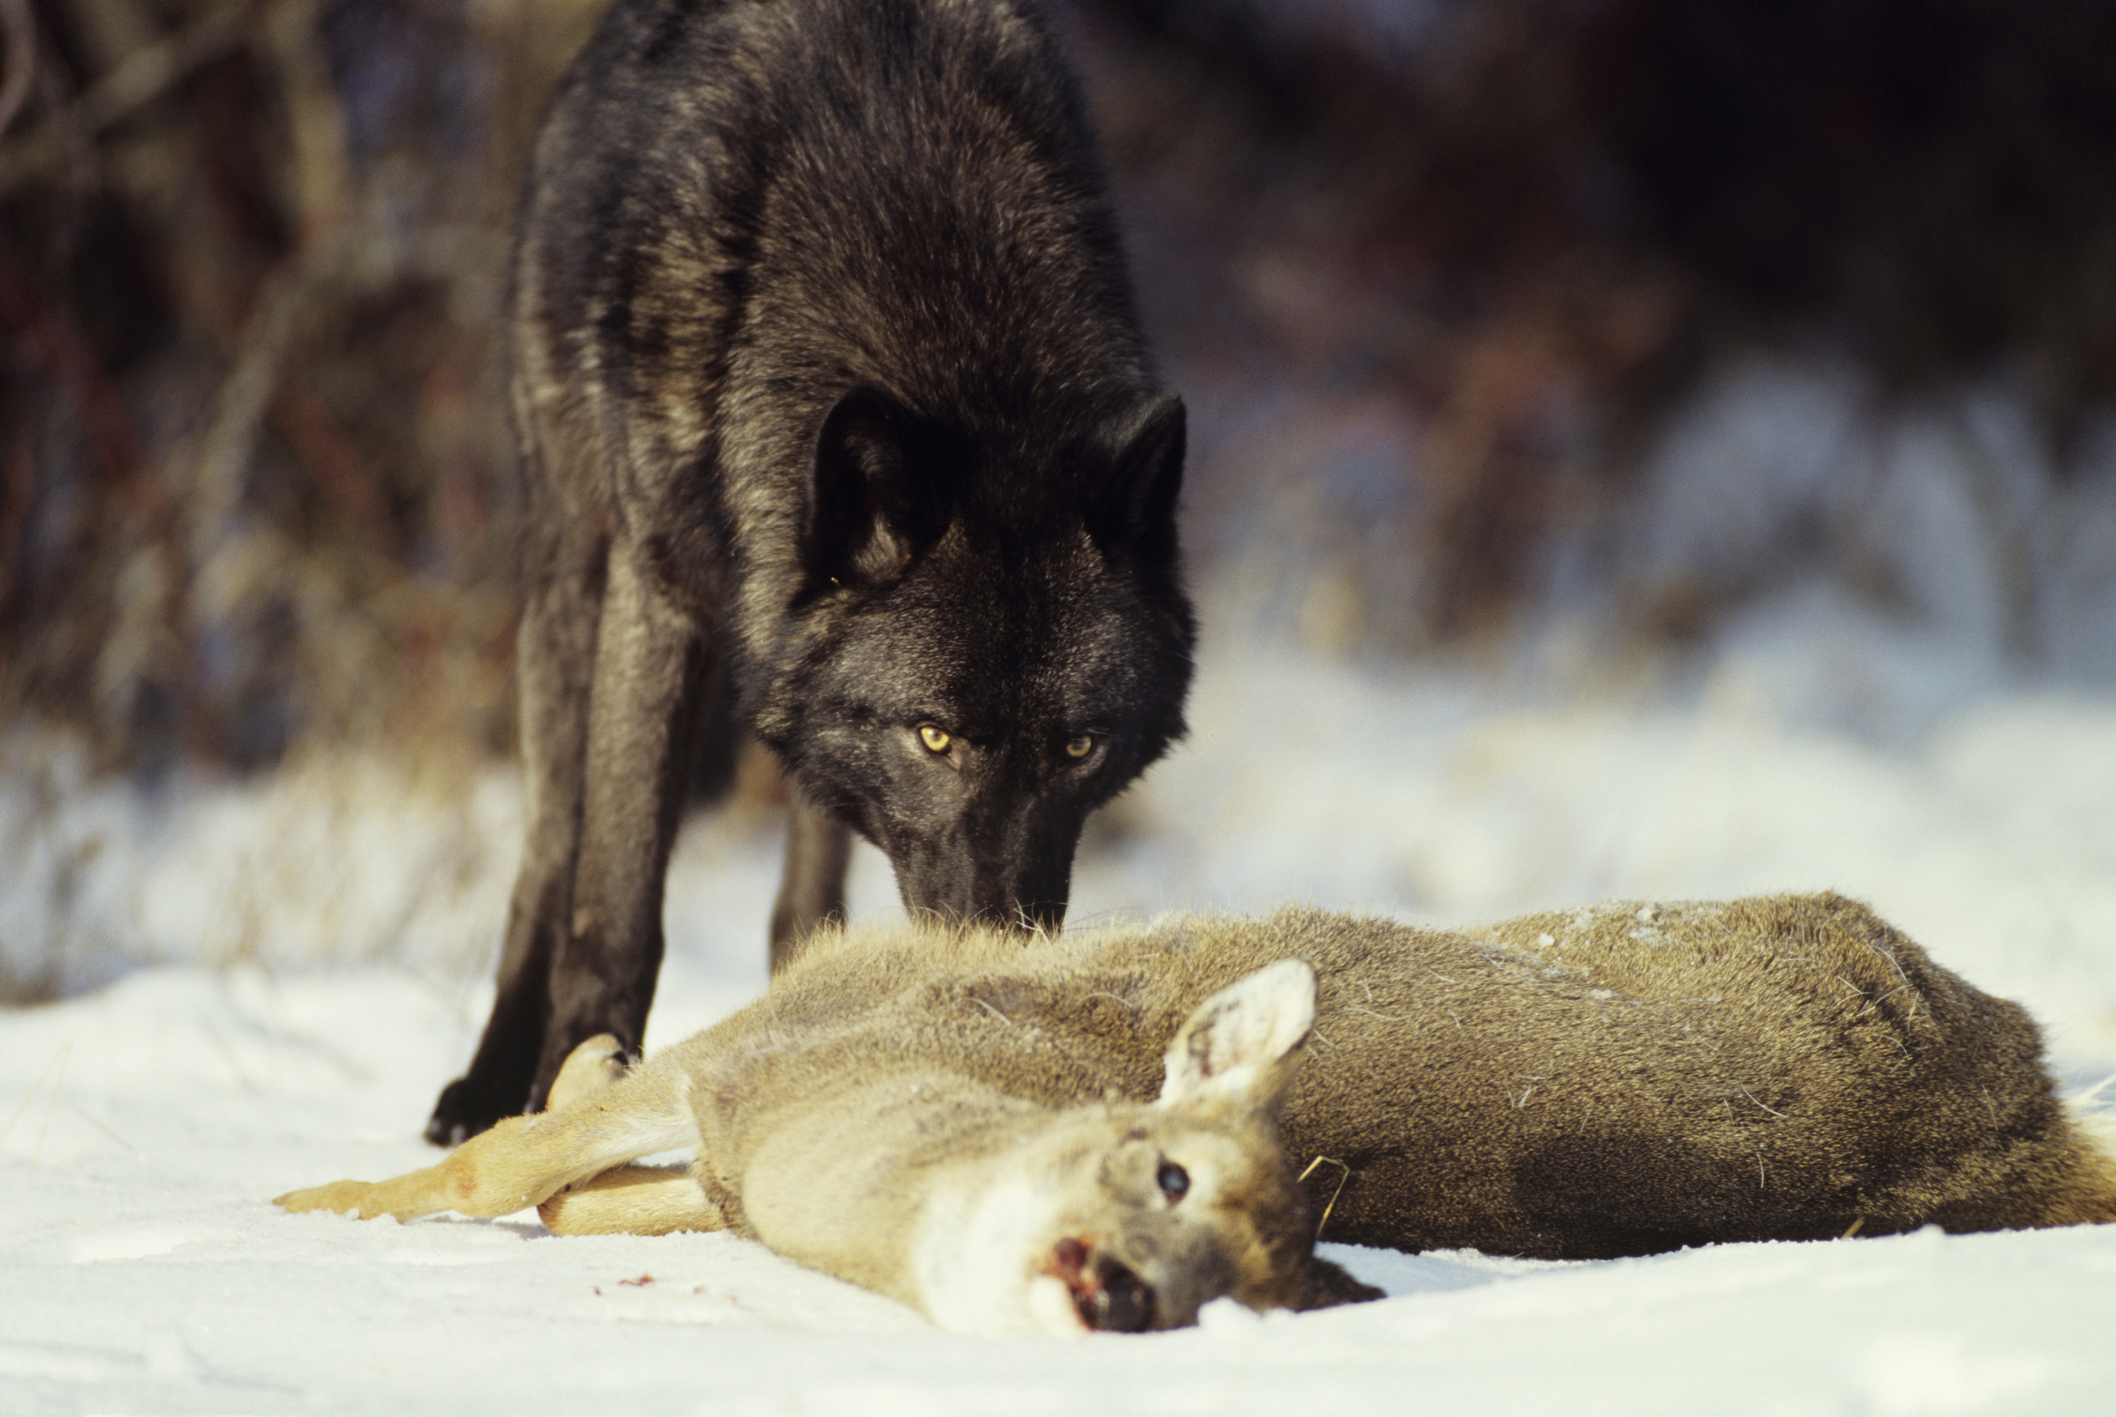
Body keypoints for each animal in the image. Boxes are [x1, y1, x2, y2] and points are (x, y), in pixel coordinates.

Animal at [425, 0, 1197, 1144]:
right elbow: (614, 903)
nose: (999, 960)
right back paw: (483, 1090)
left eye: (1079, 747)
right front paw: (578, 1088)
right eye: (935, 737)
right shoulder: (658, 598)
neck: (941, 307)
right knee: (549, 850)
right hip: (567, 563)